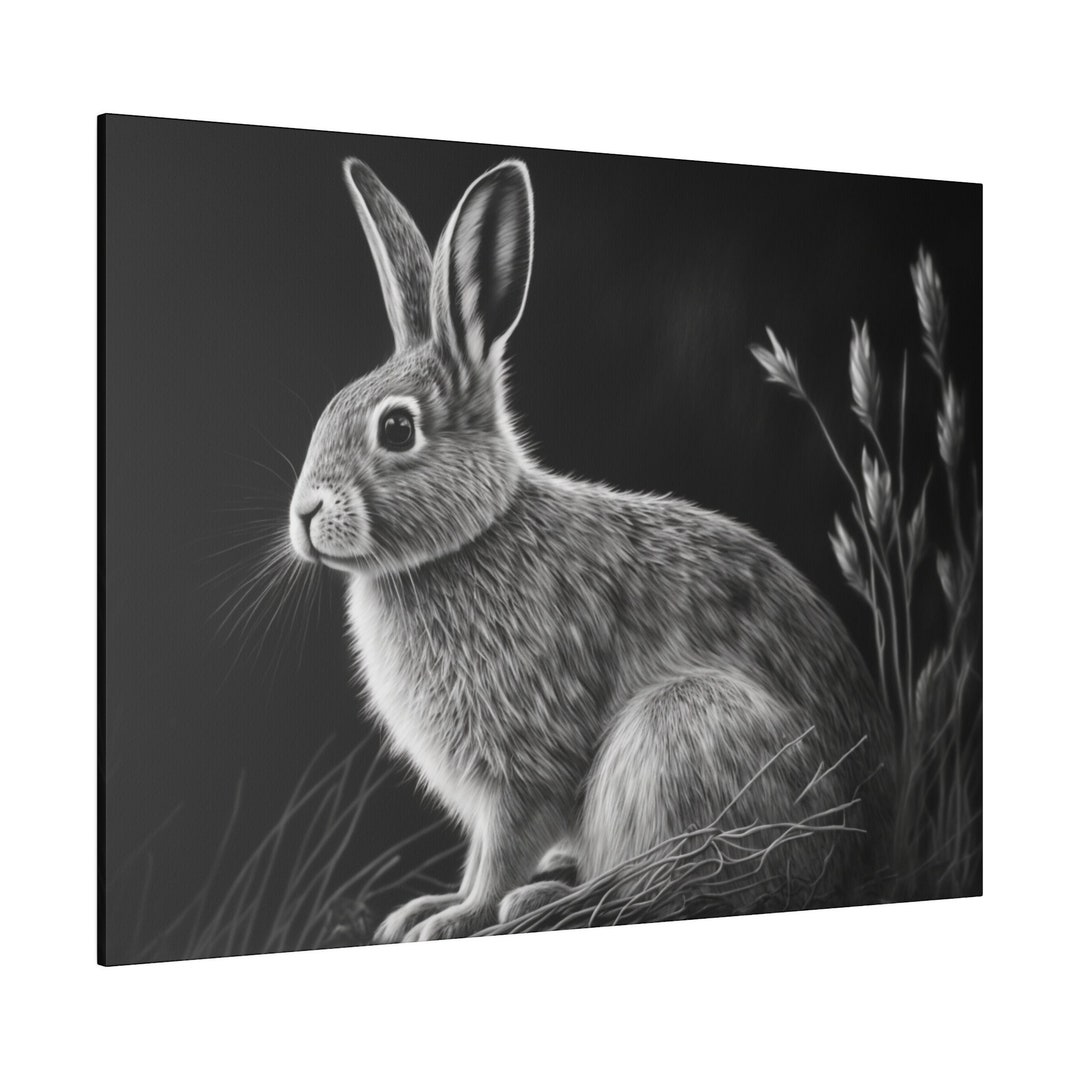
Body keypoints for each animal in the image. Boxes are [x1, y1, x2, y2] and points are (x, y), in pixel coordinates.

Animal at [288, 156, 894, 944]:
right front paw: (424, 911)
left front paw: (452, 918)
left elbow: (500, 851)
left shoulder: (523, 763)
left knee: (681, 887)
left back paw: (545, 902)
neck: (474, 537)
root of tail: (866, 839)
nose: (304, 513)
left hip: (682, 733)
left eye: (396, 429)